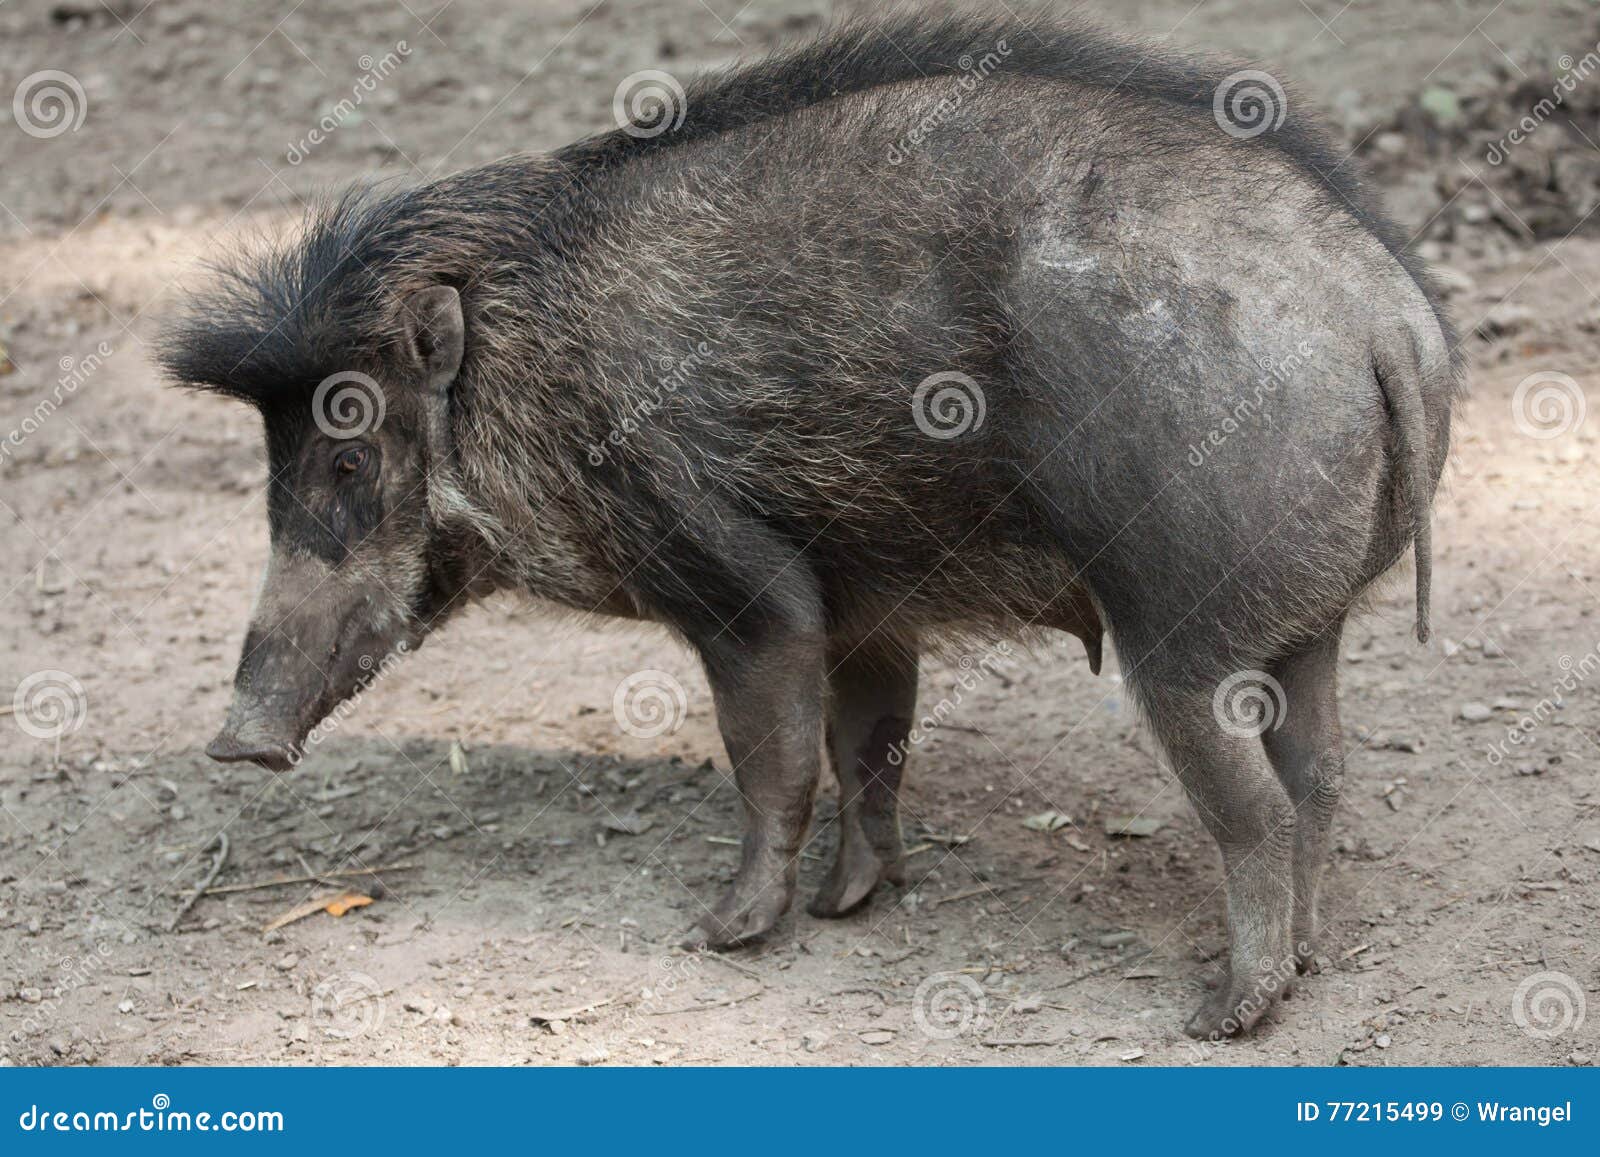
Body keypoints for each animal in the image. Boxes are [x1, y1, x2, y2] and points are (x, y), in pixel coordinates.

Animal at [159, 12, 1460, 1038]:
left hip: (1181, 630)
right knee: (1323, 772)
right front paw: (850, 905)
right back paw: (1310, 956)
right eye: (274, 459)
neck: (532, 376)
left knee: (1254, 804)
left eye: (345, 449)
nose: (233, 742)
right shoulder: (869, 608)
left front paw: (721, 932)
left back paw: (1226, 1012)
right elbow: (866, 748)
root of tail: (1385, 318)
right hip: (1304, 623)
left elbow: (772, 761)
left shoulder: (739, 581)